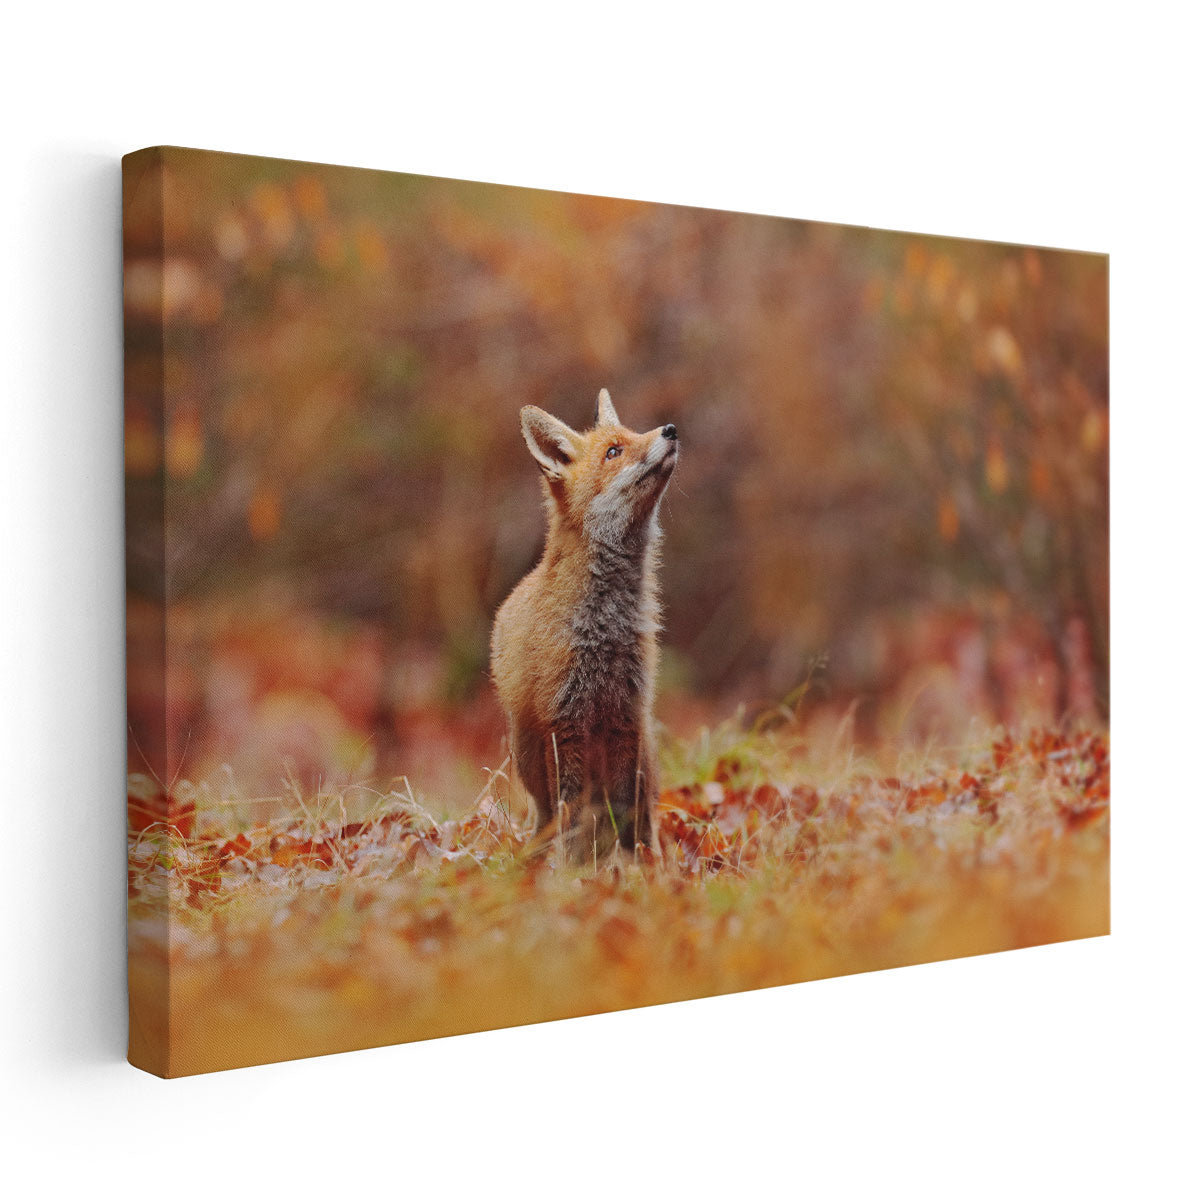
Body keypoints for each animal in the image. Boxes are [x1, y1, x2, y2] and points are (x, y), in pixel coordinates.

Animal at [490, 388, 679, 861]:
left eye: (633, 432)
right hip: (528, 751)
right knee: (548, 814)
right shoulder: (565, 722)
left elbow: (628, 812)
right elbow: (570, 814)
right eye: (613, 452)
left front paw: (633, 867)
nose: (670, 429)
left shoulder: (626, 716)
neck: (605, 629)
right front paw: (571, 869)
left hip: (646, 750)